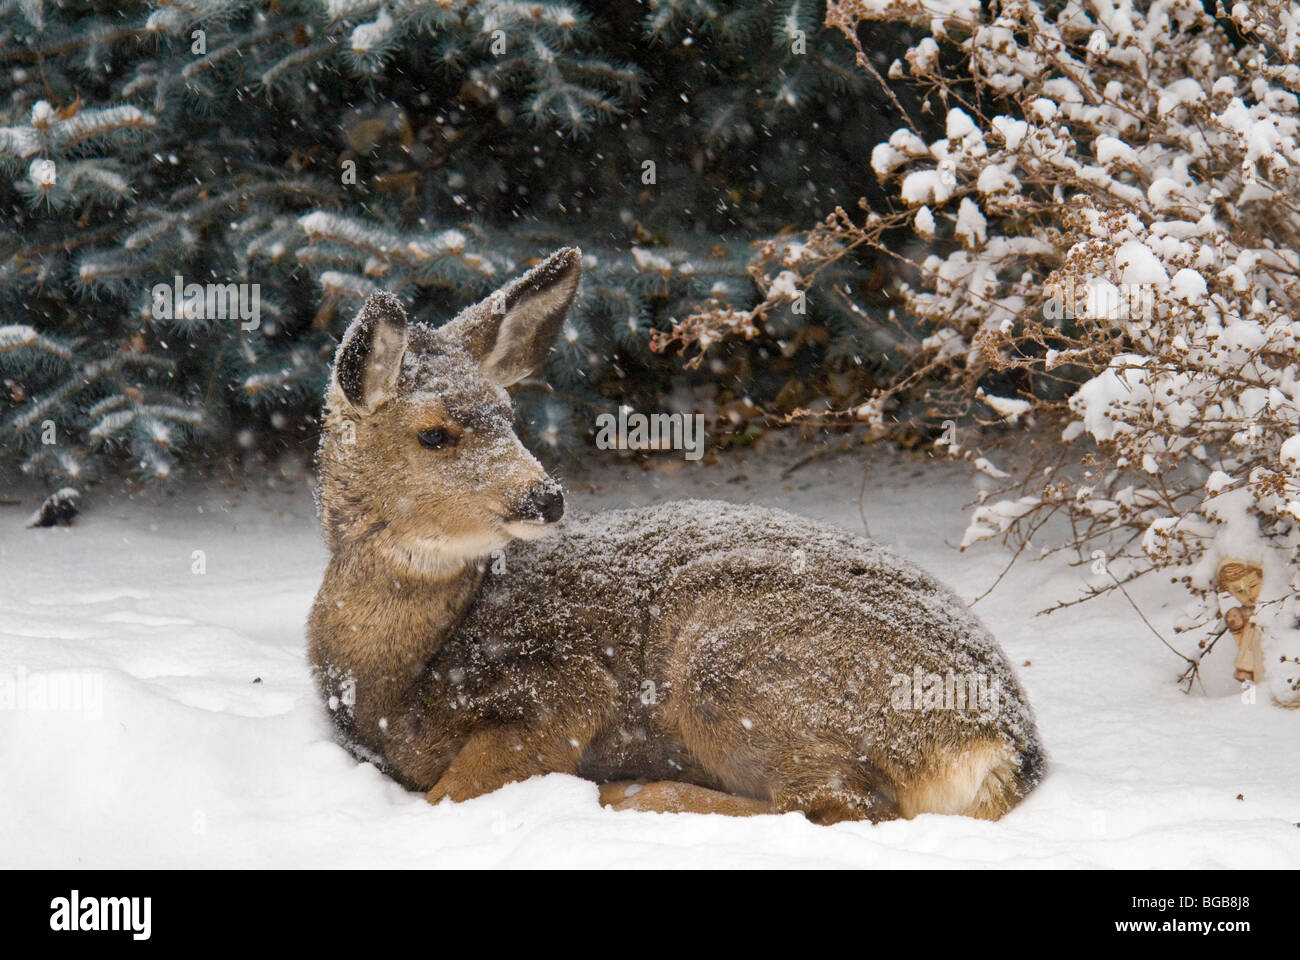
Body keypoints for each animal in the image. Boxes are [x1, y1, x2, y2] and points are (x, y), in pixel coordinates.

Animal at [307, 247, 1044, 824]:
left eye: (510, 414)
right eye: (434, 433)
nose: (547, 497)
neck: (393, 684)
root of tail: (1007, 748)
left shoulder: (563, 688)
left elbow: (449, 795)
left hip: (730, 663)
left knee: (836, 803)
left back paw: (634, 793)